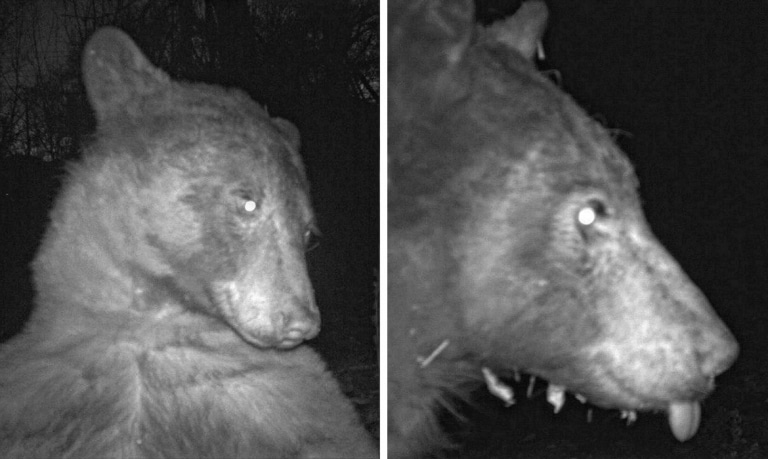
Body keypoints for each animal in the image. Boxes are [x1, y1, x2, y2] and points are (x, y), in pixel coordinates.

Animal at [0, 27, 376, 459]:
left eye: (309, 234)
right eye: (248, 202)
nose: (302, 321)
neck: (153, 320)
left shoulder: (284, 401)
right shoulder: (42, 385)